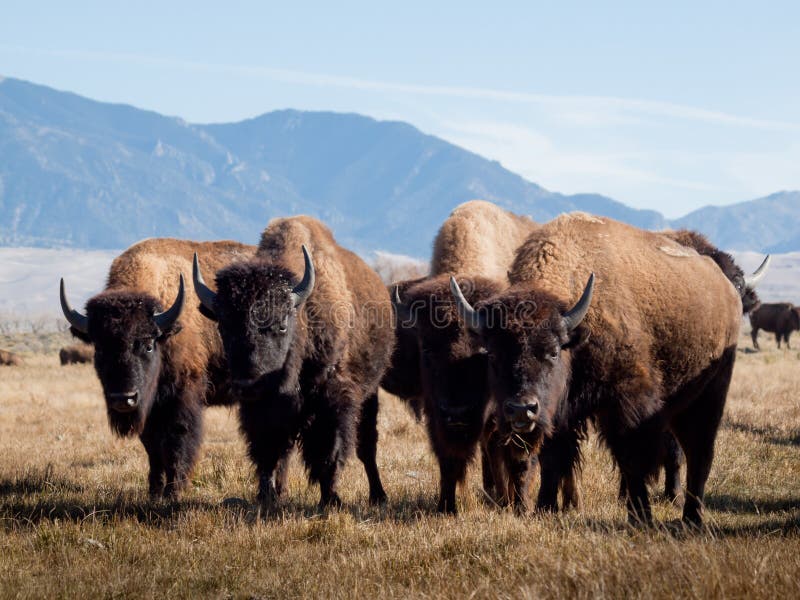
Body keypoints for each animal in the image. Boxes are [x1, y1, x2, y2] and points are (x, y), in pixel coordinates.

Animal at [60, 238, 255, 499]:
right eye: (99, 348)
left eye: (148, 345)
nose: (123, 398)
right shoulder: (149, 406)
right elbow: (152, 445)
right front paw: (154, 491)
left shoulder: (182, 397)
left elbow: (177, 439)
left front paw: (174, 491)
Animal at [193, 216, 393, 508]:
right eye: (224, 326)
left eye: (281, 325)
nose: (249, 384)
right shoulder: (261, 410)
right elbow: (267, 451)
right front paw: (265, 496)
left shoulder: (333, 399)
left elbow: (329, 451)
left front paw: (331, 499)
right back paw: (281, 491)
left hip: (370, 394)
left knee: (367, 445)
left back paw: (378, 495)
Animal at [452, 213, 741, 525]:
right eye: (493, 354)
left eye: (553, 352)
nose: (521, 409)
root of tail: (725, 287)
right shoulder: (560, 413)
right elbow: (554, 458)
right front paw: (544, 508)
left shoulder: (628, 404)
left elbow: (631, 459)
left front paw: (640, 516)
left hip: (710, 393)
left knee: (700, 452)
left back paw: (692, 517)